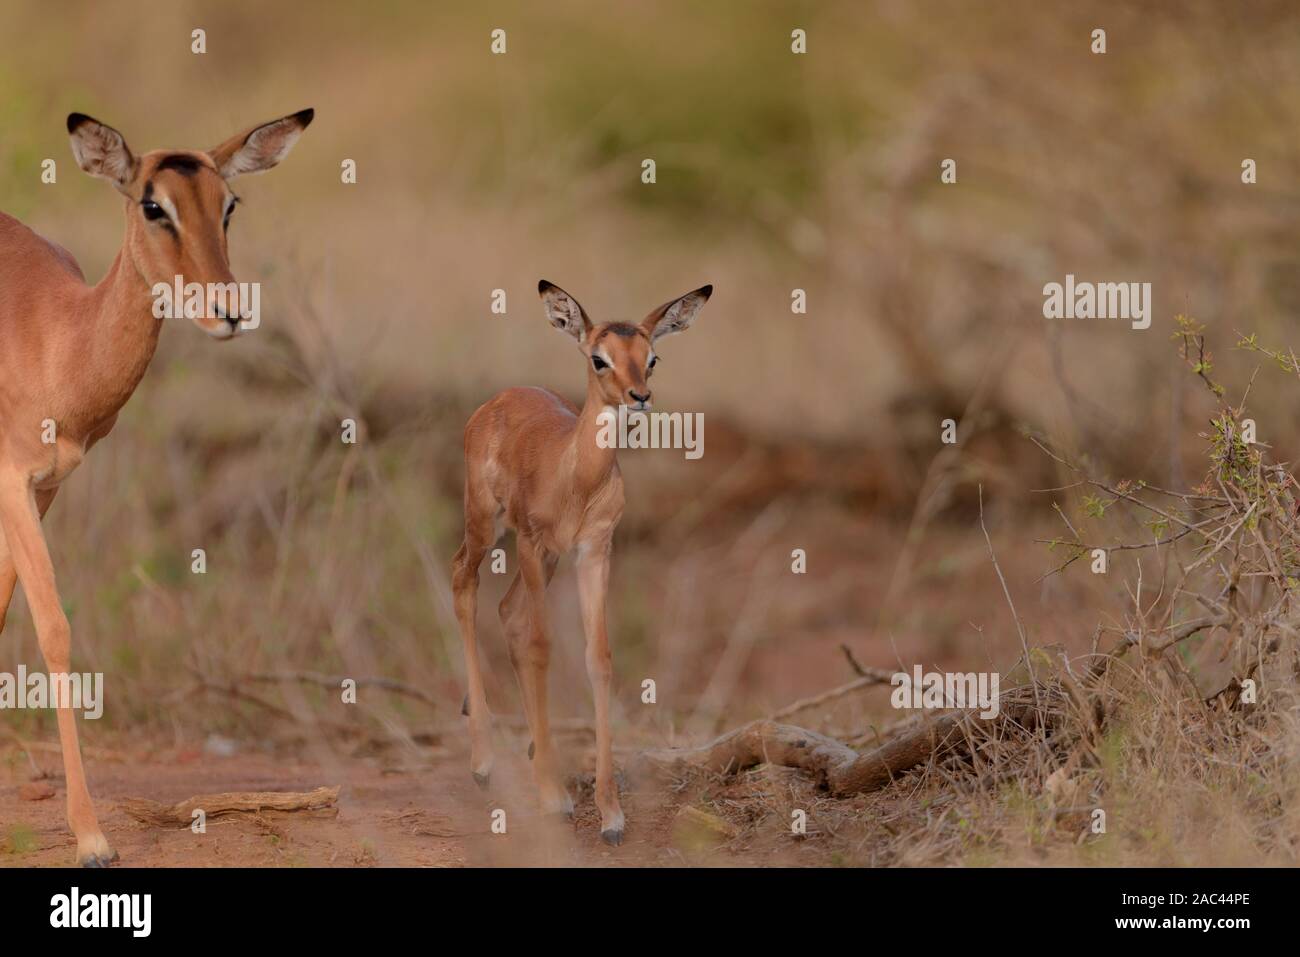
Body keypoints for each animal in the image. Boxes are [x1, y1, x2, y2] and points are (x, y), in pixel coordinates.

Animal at [0, 109, 313, 865]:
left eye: (229, 204)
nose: (229, 310)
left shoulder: (43, 487)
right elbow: (53, 628)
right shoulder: (10, 480)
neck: (53, 336)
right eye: (153, 205)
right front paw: (91, 837)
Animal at [452, 280, 712, 845]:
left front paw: (611, 814)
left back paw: (532, 754)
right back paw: (483, 762)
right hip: (487, 525)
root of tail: (495, 401)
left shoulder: (594, 550)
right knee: (464, 582)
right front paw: (554, 795)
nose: (640, 398)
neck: (575, 475)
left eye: (652, 357)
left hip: (547, 560)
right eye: (599, 358)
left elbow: (600, 658)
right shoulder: (531, 543)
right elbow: (542, 648)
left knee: (508, 613)